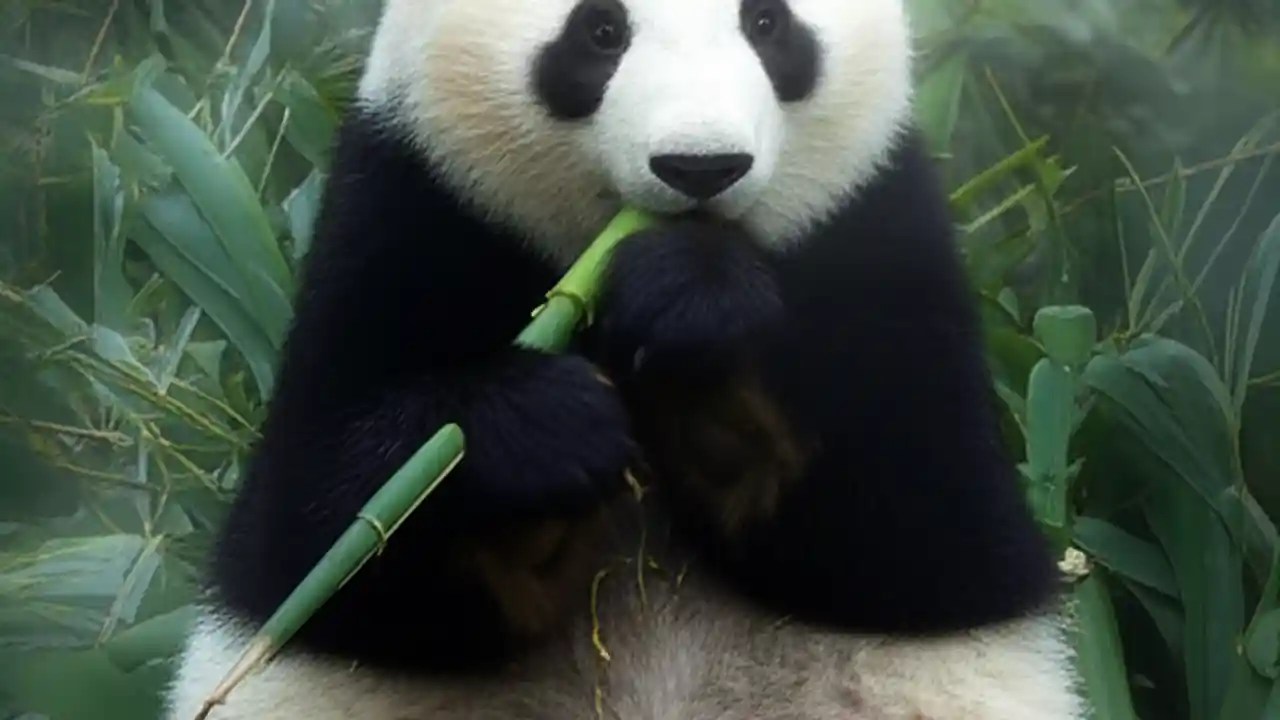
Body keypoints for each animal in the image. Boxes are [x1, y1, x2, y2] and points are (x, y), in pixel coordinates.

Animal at [164, 0, 1087, 718]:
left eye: (768, 22)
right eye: (600, 31)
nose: (701, 166)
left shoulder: (880, 224)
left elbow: (916, 522)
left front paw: (696, 315)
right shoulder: (405, 218)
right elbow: (326, 548)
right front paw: (539, 431)